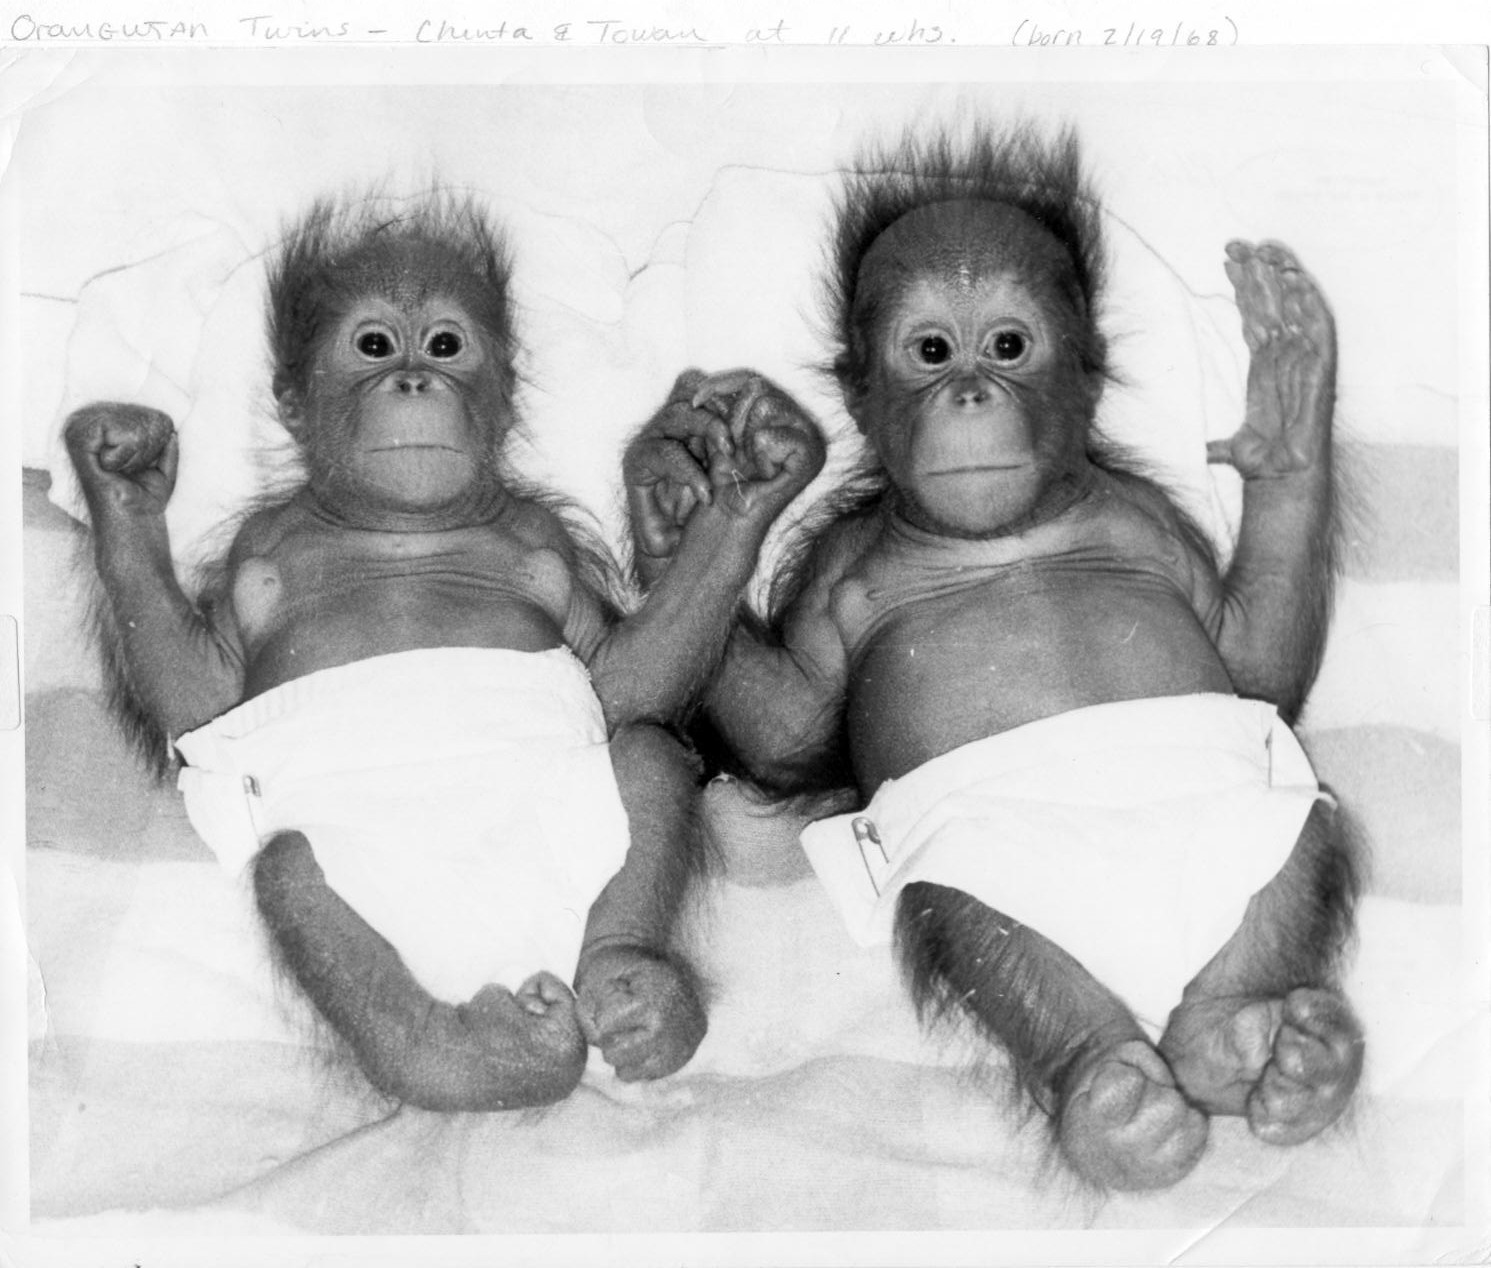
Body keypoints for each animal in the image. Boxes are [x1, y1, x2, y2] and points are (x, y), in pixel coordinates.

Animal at [63, 191, 814, 1113]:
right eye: (373, 344)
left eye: (447, 343)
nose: (414, 379)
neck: (402, 526)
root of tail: (516, 947)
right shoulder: (250, 562)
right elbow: (197, 699)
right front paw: (121, 489)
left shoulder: (550, 548)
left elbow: (623, 682)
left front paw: (749, 490)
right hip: (349, 862)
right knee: (294, 877)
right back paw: (475, 1055)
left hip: (579, 813)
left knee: (645, 758)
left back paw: (633, 994)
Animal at [623, 124, 1364, 1191]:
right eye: (930, 349)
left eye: (1008, 344)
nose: (970, 389)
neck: (997, 536)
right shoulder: (831, 579)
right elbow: (789, 731)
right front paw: (694, 508)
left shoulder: (1154, 523)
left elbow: (1255, 665)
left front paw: (1291, 411)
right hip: (982, 872)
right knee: (1000, 950)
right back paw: (1120, 1108)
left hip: (1255, 821)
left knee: (1292, 858)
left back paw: (1267, 1058)